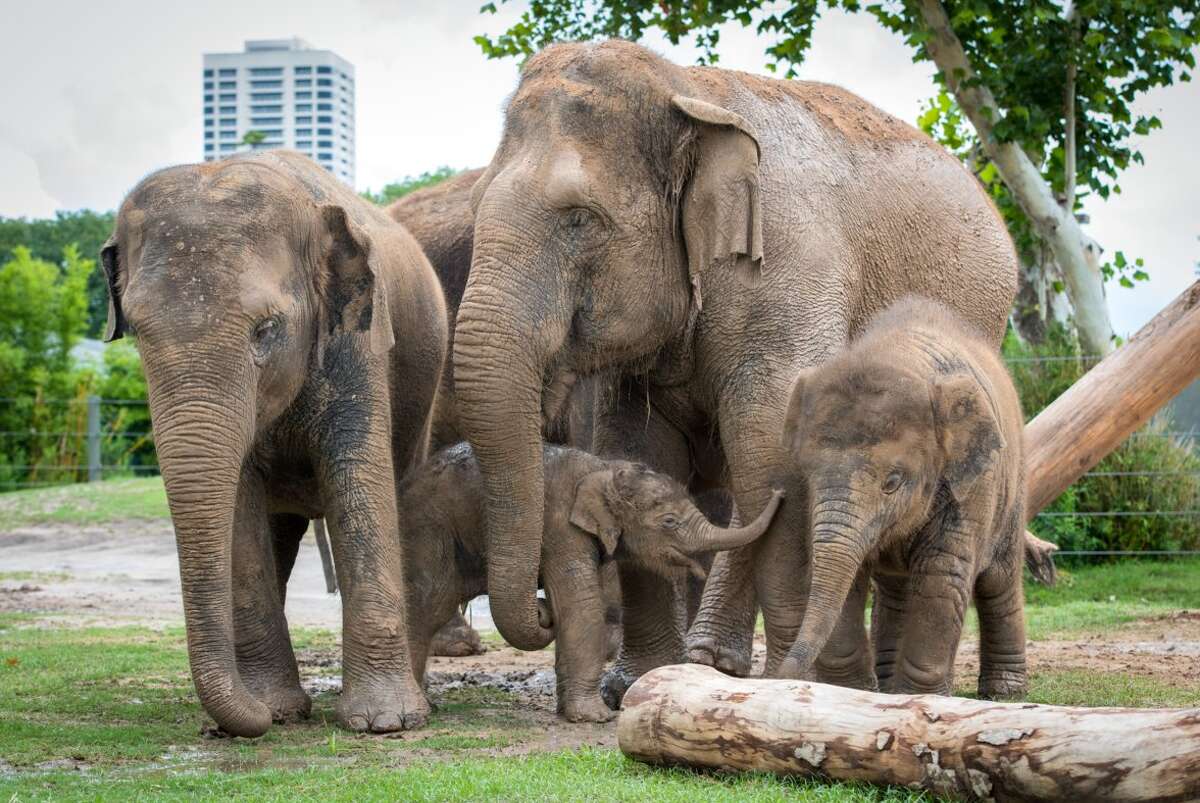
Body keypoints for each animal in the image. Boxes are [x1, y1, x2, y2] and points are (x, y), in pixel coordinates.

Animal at [100, 150, 447, 736]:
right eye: (140, 333)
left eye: (265, 329)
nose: (243, 722)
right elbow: (240, 506)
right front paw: (276, 709)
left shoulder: (356, 346)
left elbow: (360, 486)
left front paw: (386, 723)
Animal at [398, 442, 782, 721]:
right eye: (670, 522)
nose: (780, 492)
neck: (604, 468)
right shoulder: (561, 528)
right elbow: (581, 604)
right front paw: (597, 718)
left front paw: (572, 712)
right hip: (429, 531)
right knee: (429, 604)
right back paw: (421, 709)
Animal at [778, 297, 1027, 700]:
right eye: (809, 473)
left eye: (892, 482)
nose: (780, 676)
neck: (898, 357)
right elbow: (844, 573)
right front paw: (851, 690)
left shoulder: (973, 483)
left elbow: (942, 570)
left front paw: (919, 697)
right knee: (896, 587)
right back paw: (888, 685)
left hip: (1012, 485)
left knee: (998, 581)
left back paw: (1003, 693)